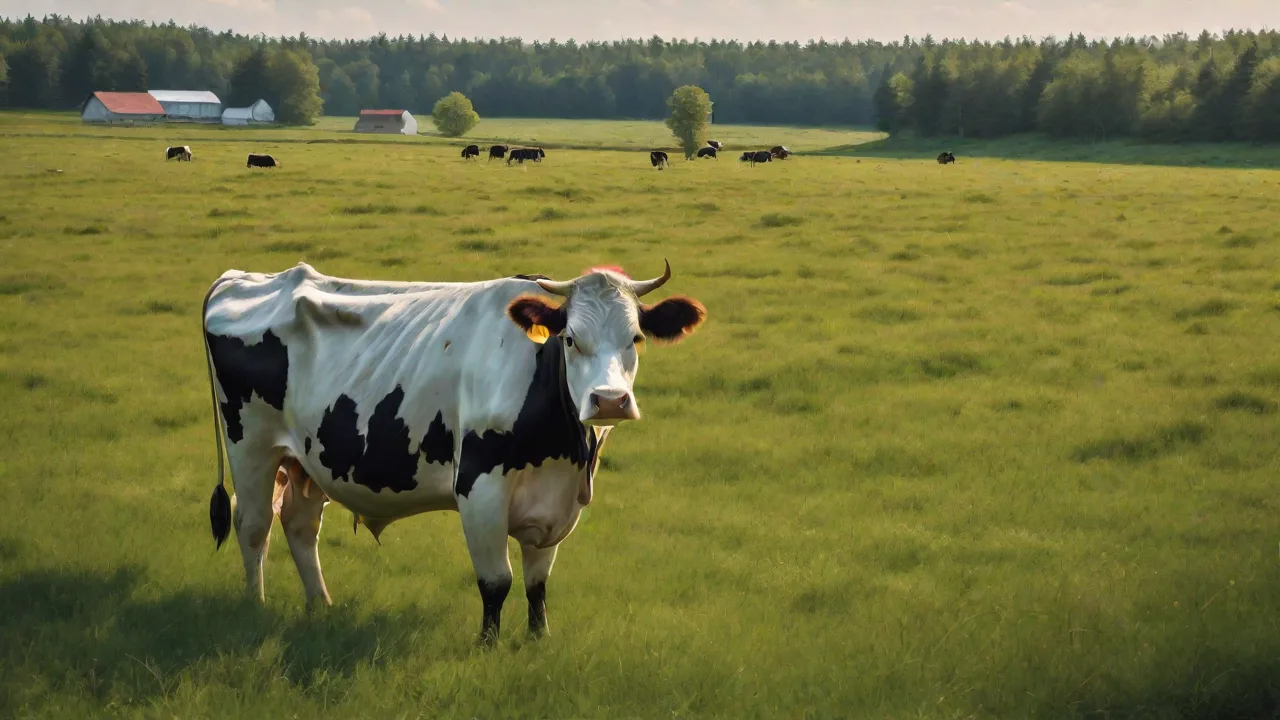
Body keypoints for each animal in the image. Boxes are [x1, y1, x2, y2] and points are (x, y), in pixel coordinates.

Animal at [201, 261, 705, 644]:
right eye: (569, 339)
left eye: (635, 338)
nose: (609, 401)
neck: (562, 452)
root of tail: (241, 278)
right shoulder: (479, 490)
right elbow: (496, 581)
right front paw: (488, 646)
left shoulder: (556, 503)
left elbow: (537, 583)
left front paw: (538, 640)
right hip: (250, 444)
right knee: (254, 525)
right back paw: (255, 604)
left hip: (308, 458)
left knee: (300, 525)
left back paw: (321, 605)